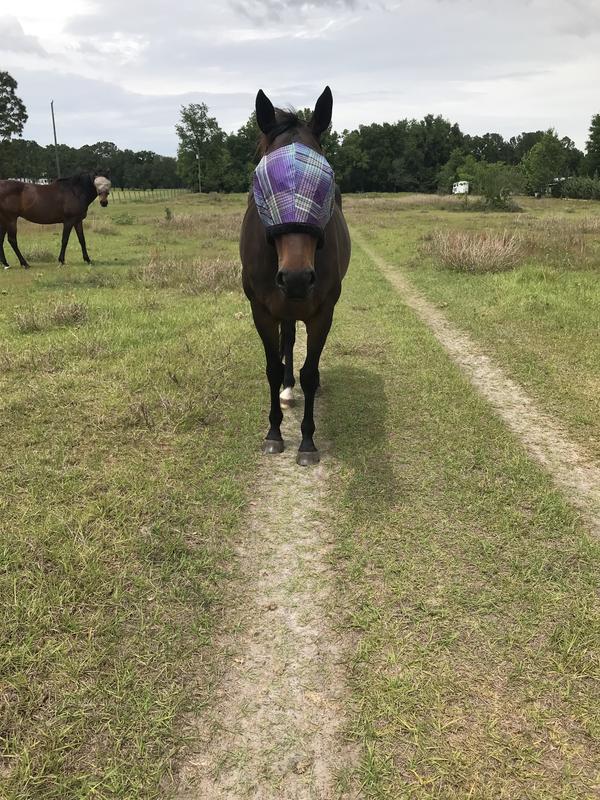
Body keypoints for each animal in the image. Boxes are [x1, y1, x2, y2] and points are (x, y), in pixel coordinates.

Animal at [239, 87, 350, 466]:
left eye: (326, 182)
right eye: (261, 182)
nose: (297, 278)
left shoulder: (323, 313)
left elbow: (310, 372)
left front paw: (307, 442)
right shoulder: (262, 310)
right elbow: (273, 368)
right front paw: (274, 434)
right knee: (287, 340)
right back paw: (287, 391)